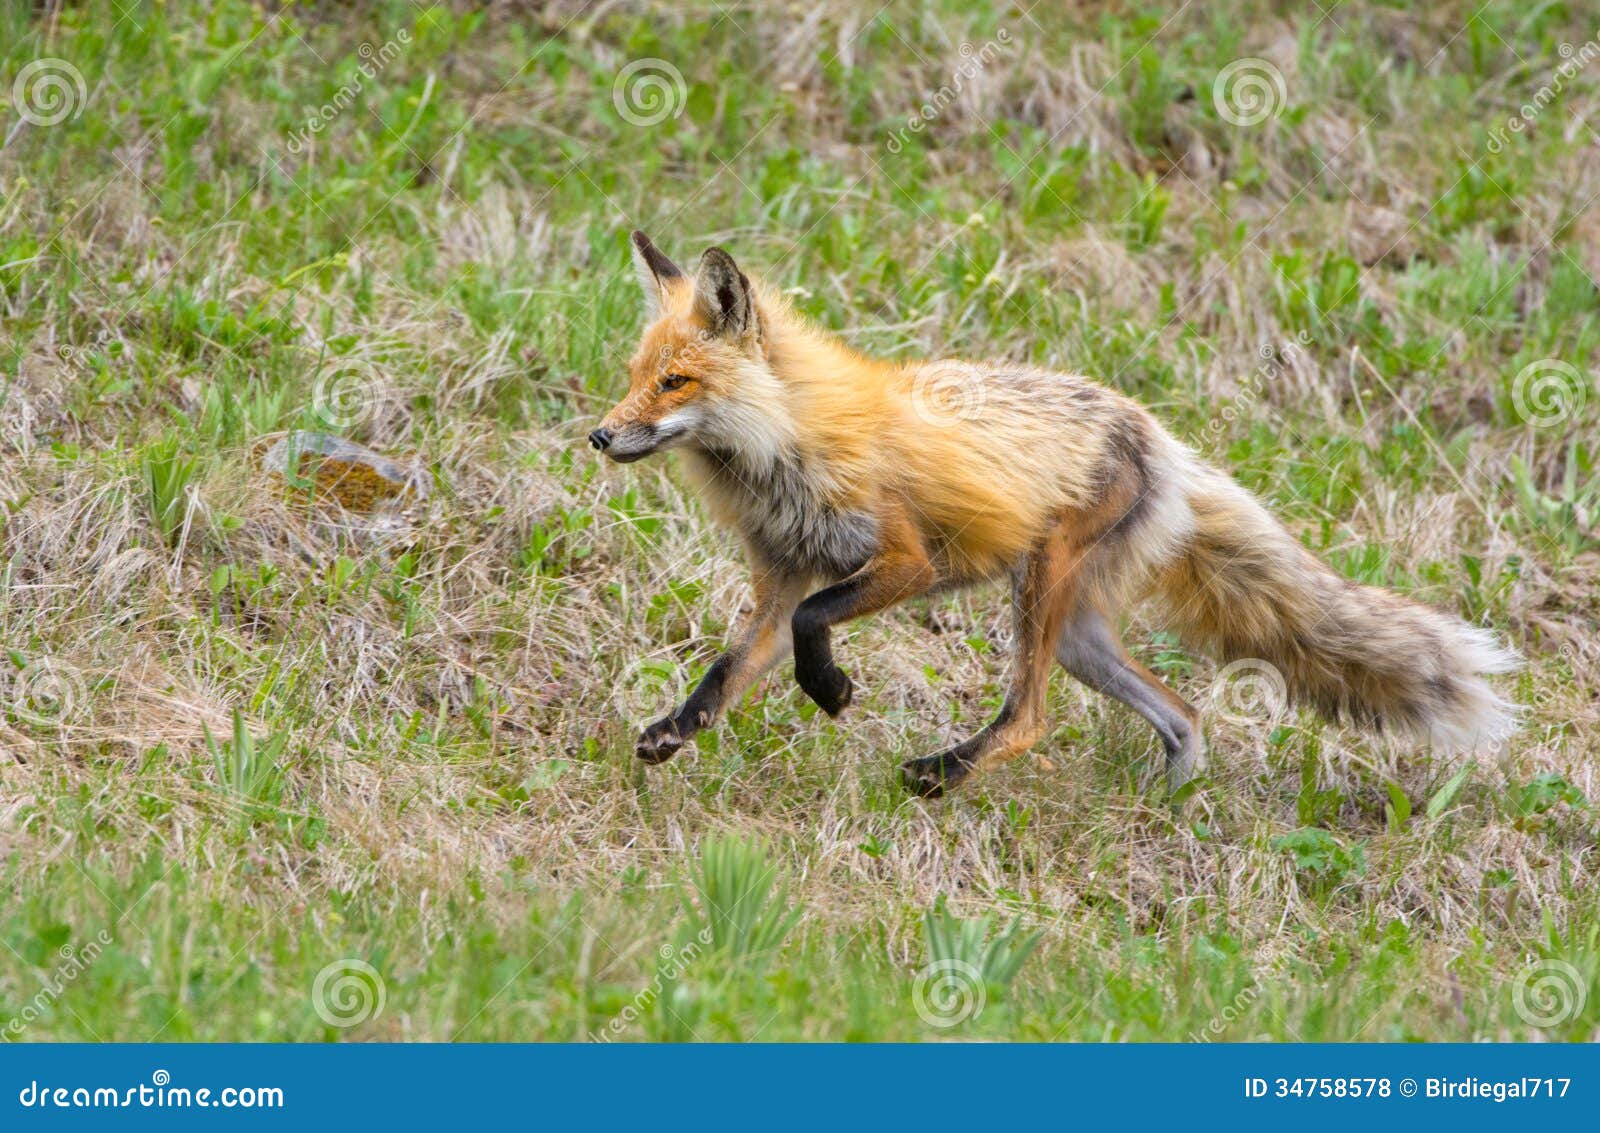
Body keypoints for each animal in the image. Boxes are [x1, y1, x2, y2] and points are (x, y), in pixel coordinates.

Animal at [591, 230, 1519, 797]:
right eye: (636, 375)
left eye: (676, 383)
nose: (600, 434)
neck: (787, 445)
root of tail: (1163, 439)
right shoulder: (782, 573)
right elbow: (725, 670)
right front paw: (672, 733)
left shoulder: (903, 560)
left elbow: (816, 624)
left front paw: (831, 689)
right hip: (1077, 632)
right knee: (1183, 716)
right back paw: (1165, 816)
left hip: (1040, 588)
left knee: (1029, 717)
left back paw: (943, 773)